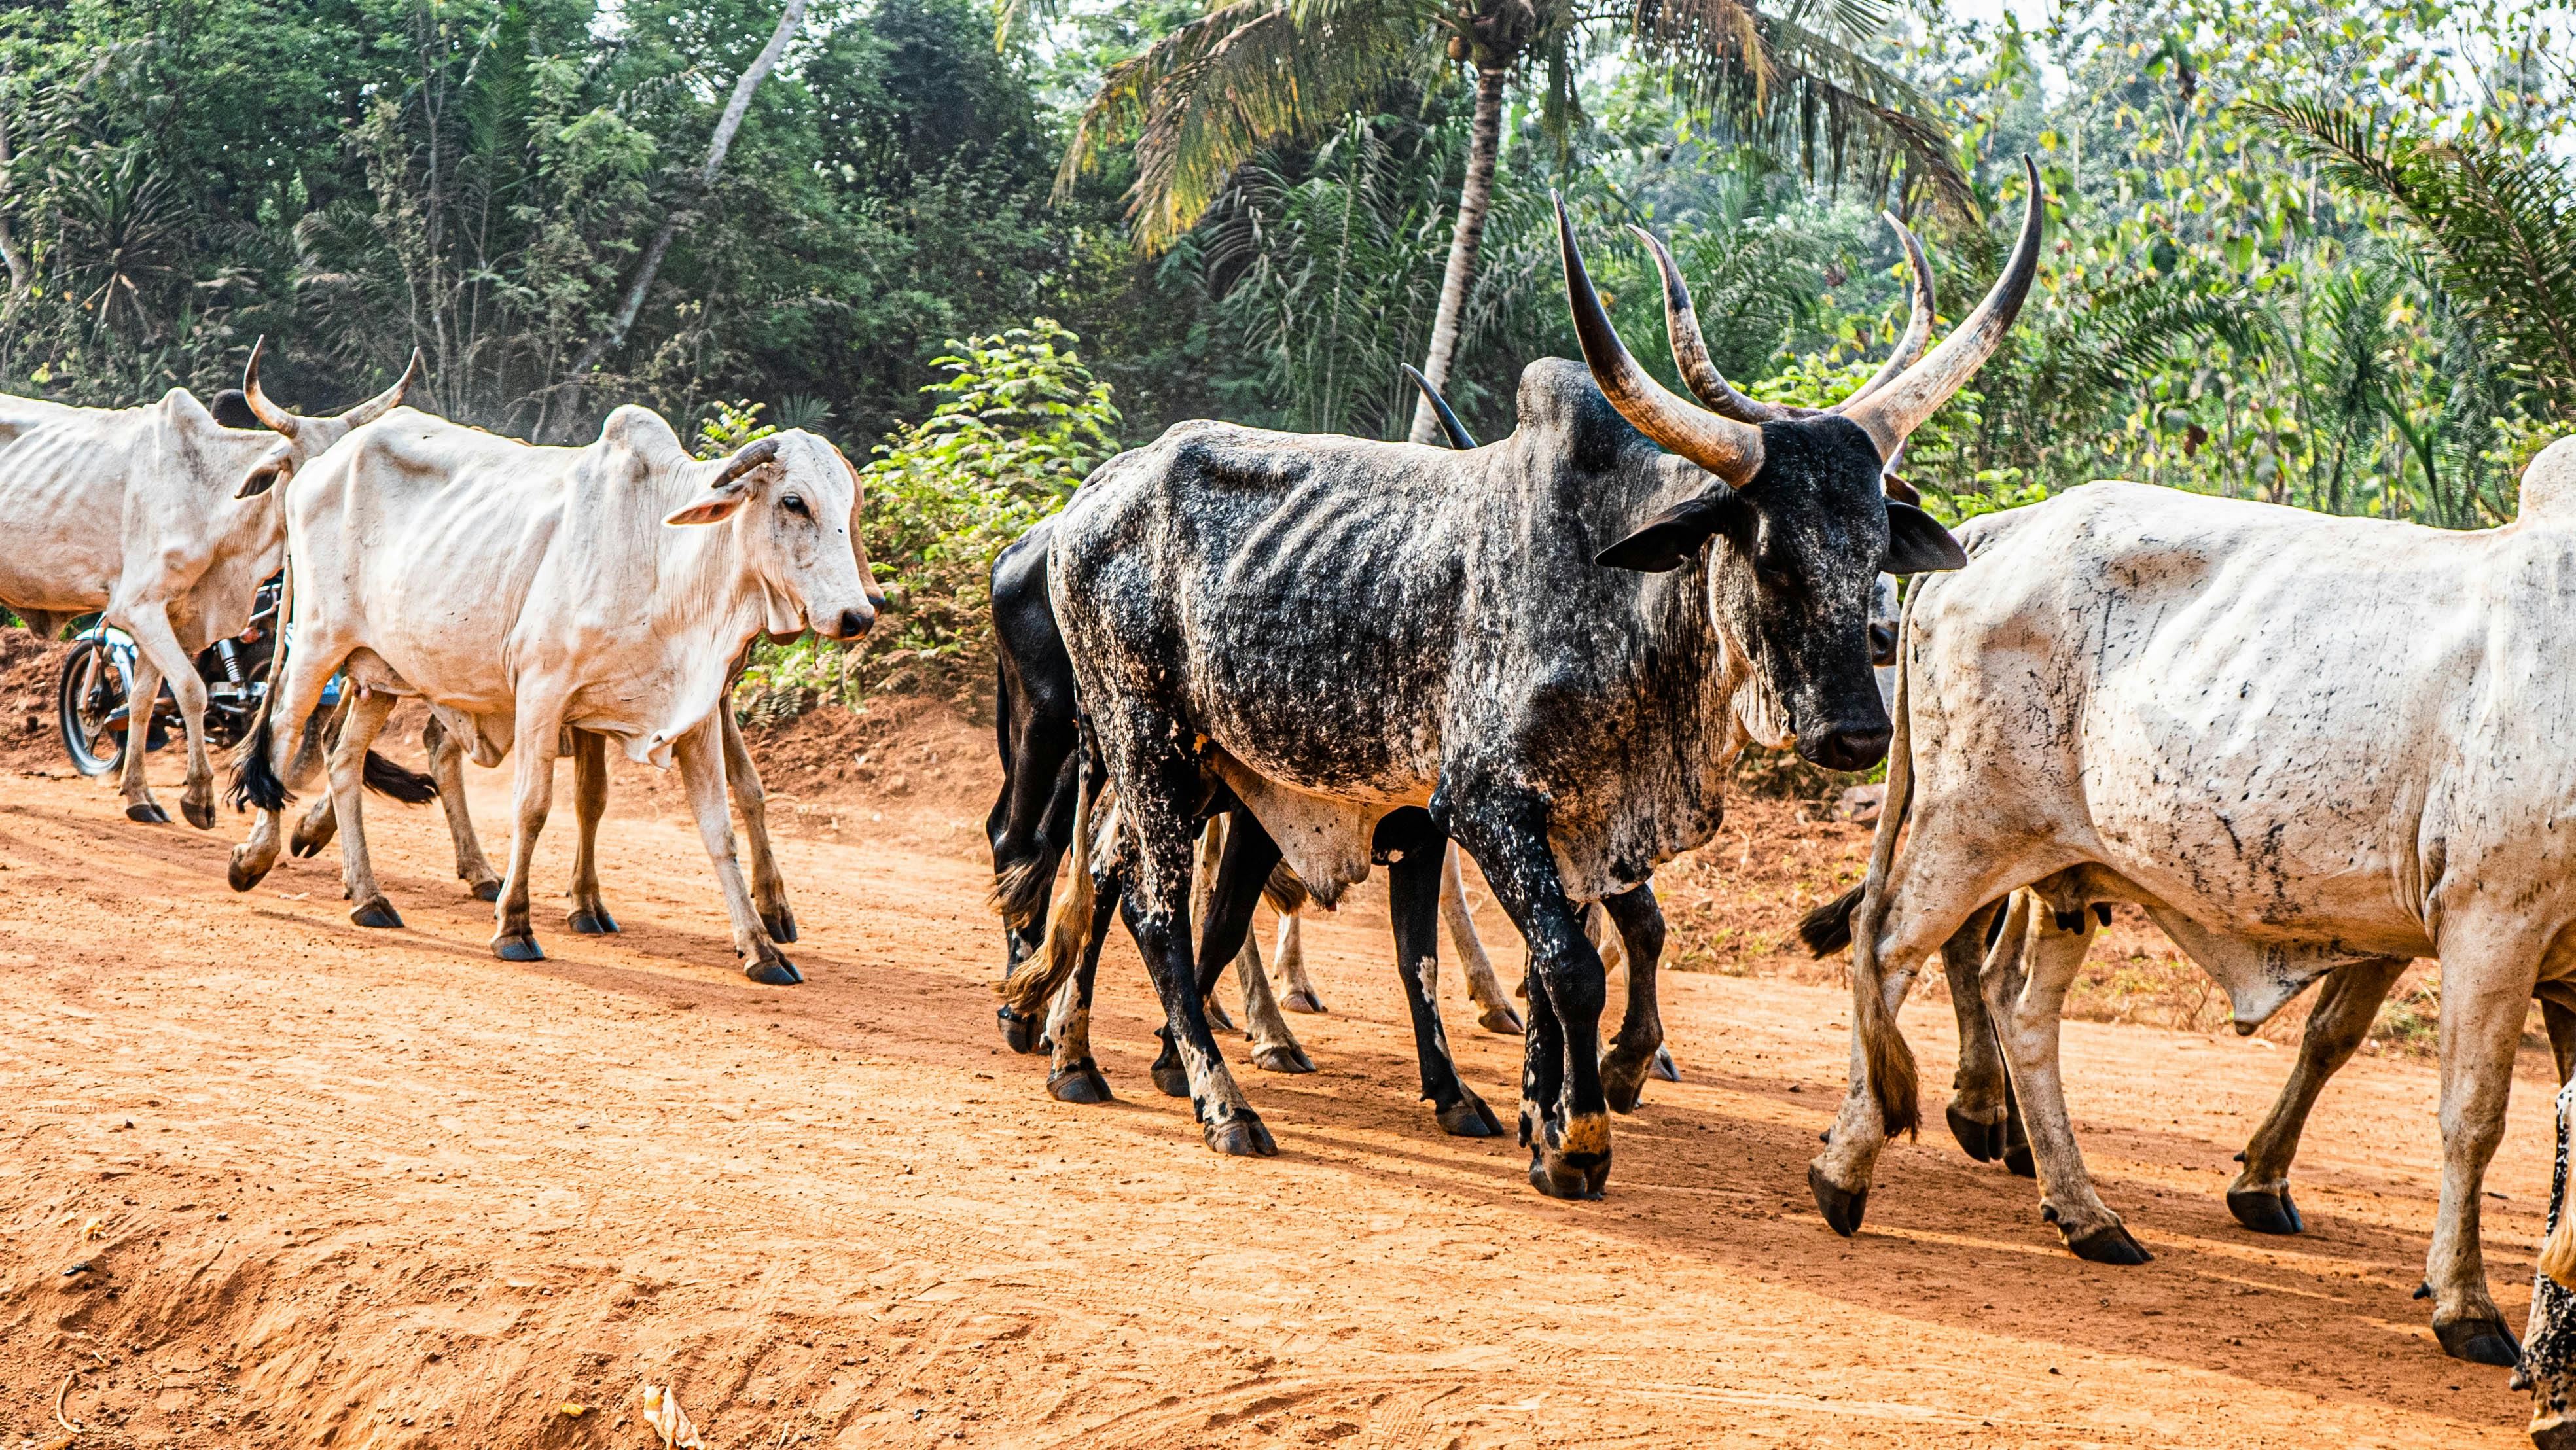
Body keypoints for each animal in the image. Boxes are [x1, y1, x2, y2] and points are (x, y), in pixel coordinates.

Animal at [0, 343, 420, 826]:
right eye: (303, 470)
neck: (209, 499)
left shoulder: (174, 615)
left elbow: (143, 700)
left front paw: (139, 796)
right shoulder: (136, 608)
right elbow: (190, 690)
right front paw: (198, 796)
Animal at [223, 407, 883, 982]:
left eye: (849, 506)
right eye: (793, 502)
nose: (858, 615)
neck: (661, 557)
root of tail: (321, 464)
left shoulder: (695, 711)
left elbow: (720, 825)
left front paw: (761, 947)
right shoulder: (544, 691)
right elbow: (534, 807)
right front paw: (515, 926)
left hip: (382, 673)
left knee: (343, 760)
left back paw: (368, 896)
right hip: (317, 642)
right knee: (282, 735)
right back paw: (255, 857)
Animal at [1034, 163, 2037, 1189]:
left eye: (1877, 547)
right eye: (1769, 555)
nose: (1858, 732)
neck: (1618, 592)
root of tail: (1092, 495)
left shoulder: (1578, 827)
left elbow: (1556, 963)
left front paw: (1539, 1118)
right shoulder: (1483, 803)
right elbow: (1568, 968)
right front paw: (1581, 1137)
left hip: (1210, 767)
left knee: (1121, 877)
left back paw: (1087, 1055)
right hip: (1146, 740)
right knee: (1153, 908)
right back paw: (1217, 1100)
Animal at [1805, 436, 2576, 1365]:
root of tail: (2001, 528)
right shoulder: (2494, 920)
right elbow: (2476, 1118)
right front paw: (2466, 1303)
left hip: (2068, 867)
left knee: (2019, 1006)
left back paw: (2085, 1213)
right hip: (1968, 827)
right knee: (1886, 953)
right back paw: (1844, 1171)